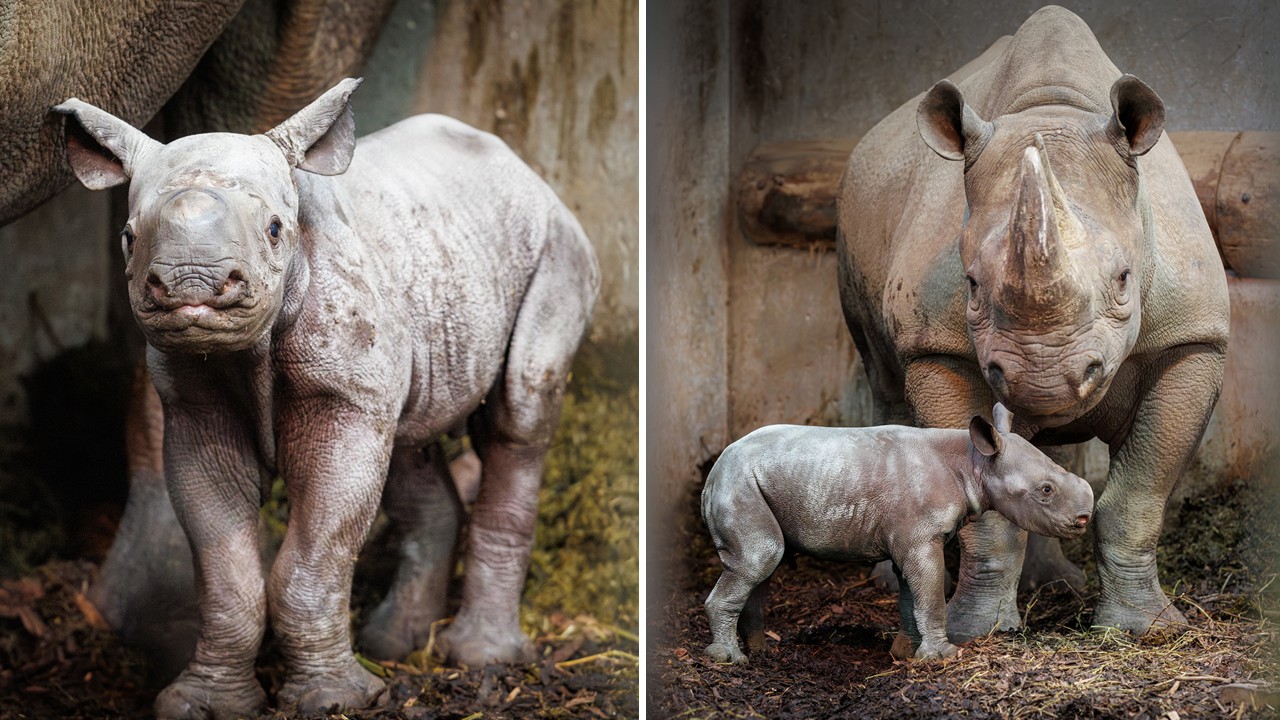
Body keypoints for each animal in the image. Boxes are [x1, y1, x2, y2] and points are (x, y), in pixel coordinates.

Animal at [54, 79, 599, 718]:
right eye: (128, 237)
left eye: (274, 230)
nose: (193, 285)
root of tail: (526, 171)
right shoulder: (197, 414)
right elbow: (224, 571)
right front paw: (204, 703)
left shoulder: (340, 397)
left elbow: (315, 555)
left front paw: (332, 700)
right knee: (406, 438)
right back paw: (394, 644)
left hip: (557, 246)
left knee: (519, 413)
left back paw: (479, 657)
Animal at [702, 405, 1094, 663]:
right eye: (1046, 490)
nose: (1084, 518)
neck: (974, 461)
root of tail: (712, 473)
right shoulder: (921, 538)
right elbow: (931, 596)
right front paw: (942, 656)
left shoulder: (914, 538)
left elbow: (911, 595)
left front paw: (904, 654)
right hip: (738, 483)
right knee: (761, 557)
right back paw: (729, 659)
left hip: (757, 480)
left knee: (764, 565)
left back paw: (761, 651)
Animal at [835, 5, 1228, 641]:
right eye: (970, 285)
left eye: (1125, 279)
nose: (1043, 379)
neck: (1053, 108)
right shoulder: (939, 348)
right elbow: (985, 508)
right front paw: (977, 633)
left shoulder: (1191, 339)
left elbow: (1138, 496)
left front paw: (1147, 629)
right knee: (882, 377)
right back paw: (892, 583)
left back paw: (1056, 583)